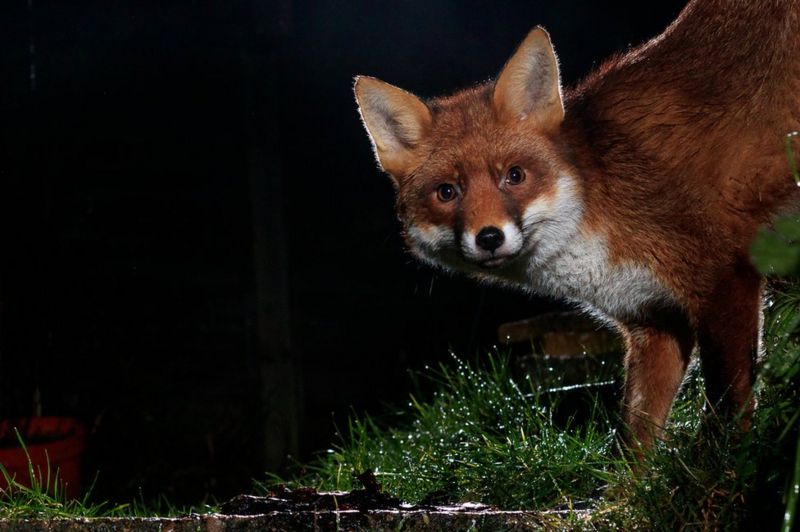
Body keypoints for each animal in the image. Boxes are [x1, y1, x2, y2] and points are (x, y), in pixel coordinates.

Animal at [354, 0, 800, 449]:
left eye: (515, 176)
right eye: (447, 192)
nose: (489, 237)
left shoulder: (723, 281)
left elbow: (727, 415)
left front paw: (721, 467)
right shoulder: (655, 322)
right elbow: (633, 438)